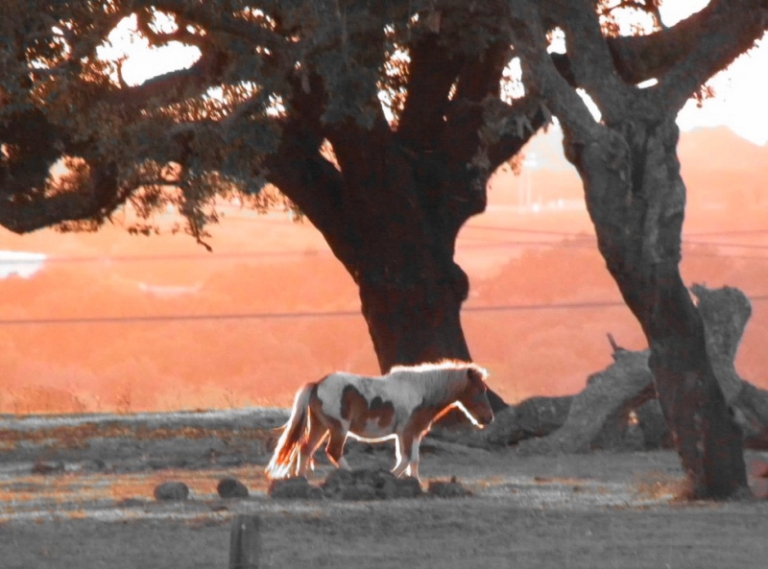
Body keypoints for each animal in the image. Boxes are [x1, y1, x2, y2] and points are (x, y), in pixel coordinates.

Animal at [265, 360, 494, 481]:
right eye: (479, 390)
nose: (488, 418)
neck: (421, 391)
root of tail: (317, 384)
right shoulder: (406, 432)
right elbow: (405, 459)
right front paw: (391, 475)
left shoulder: (413, 433)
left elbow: (413, 459)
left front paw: (414, 481)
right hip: (338, 429)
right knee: (333, 451)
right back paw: (350, 474)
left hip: (320, 426)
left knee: (305, 448)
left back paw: (301, 478)